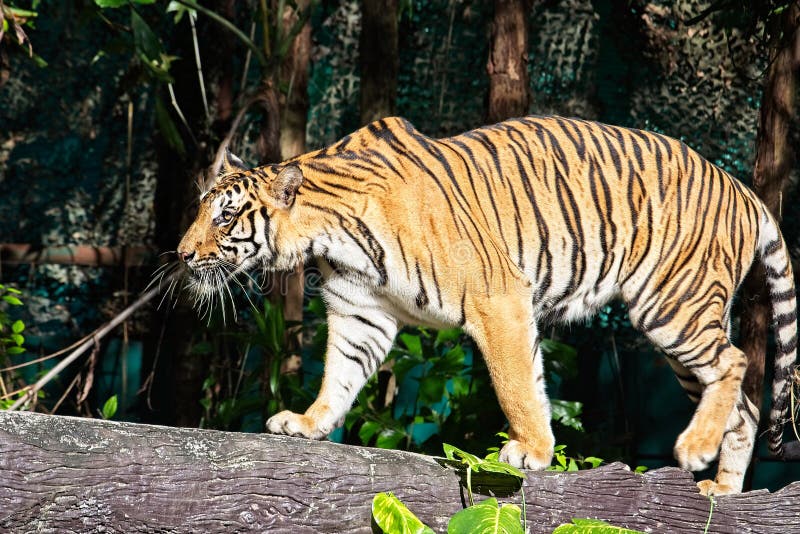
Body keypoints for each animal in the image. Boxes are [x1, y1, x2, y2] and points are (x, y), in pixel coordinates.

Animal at [175, 115, 798, 495]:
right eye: (203, 208)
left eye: (225, 217)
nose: (182, 255)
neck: (326, 234)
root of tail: (742, 187)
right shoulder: (360, 313)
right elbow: (339, 374)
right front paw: (308, 423)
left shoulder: (497, 300)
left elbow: (518, 386)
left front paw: (533, 452)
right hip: (681, 331)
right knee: (743, 403)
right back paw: (724, 488)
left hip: (672, 305)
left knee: (737, 361)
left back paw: (693, 450)